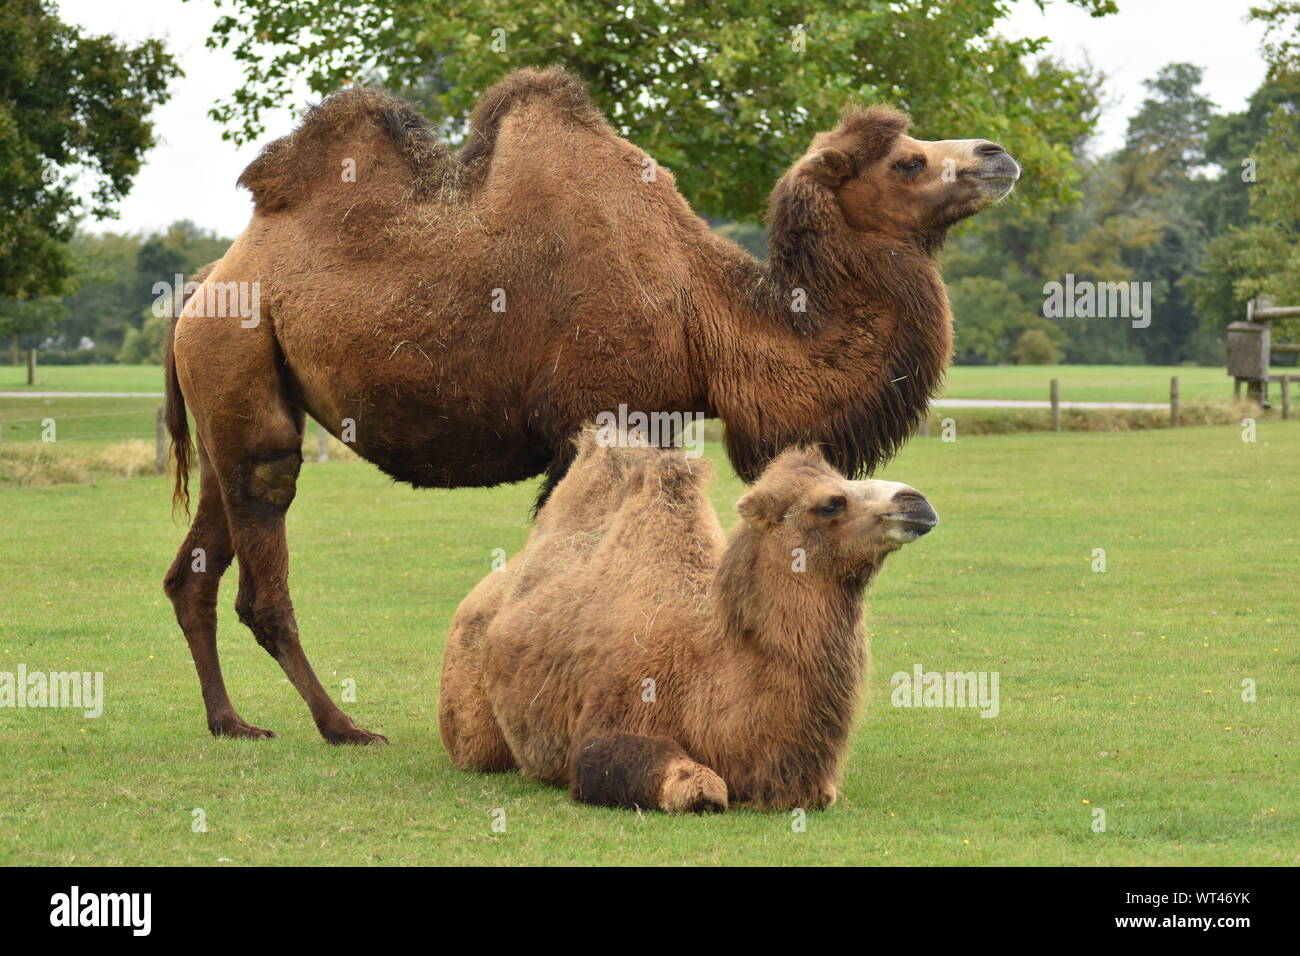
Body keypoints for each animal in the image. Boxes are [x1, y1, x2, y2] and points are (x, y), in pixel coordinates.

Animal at [163, 66, 1017, 743]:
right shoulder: (600, 416)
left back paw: (230, 721)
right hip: (240, 361)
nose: (997, 154)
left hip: (227, 402)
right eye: (908, 161)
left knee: (194, 567)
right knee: (262, 557)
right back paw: (342, 726)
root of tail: (203, 287)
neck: (705, 316)